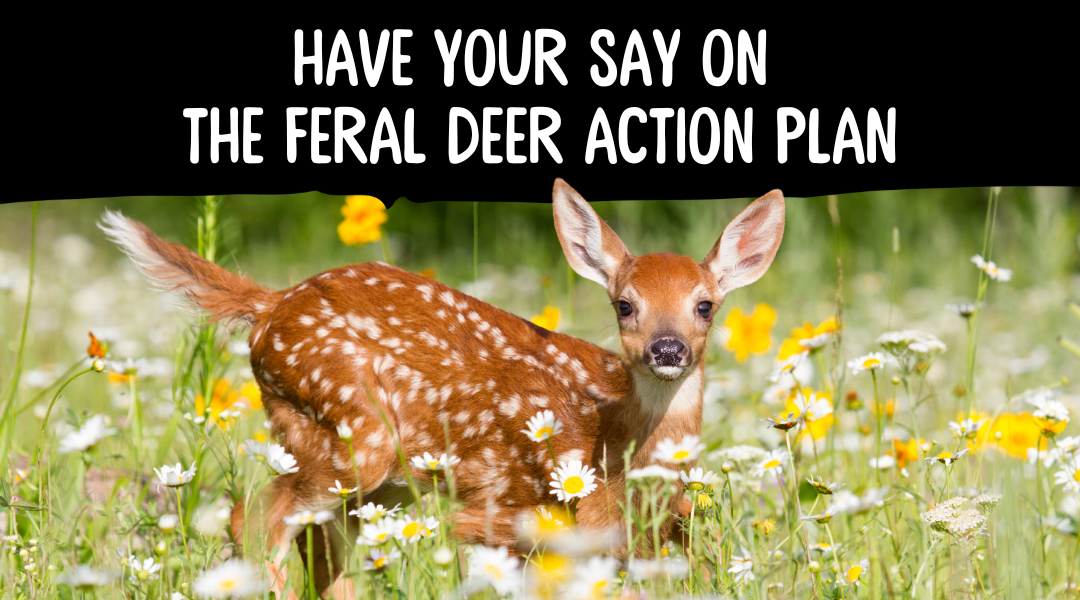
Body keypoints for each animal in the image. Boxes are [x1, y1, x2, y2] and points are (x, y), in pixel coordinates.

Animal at [100, 179, 784, 597]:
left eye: (705, 305)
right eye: (624, 304)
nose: (667, 349)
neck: (612, 444)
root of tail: (271, 305)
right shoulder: (507, 515)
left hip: (361, 469)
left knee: (321, 540)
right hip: (351, 431)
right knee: (255, 516)